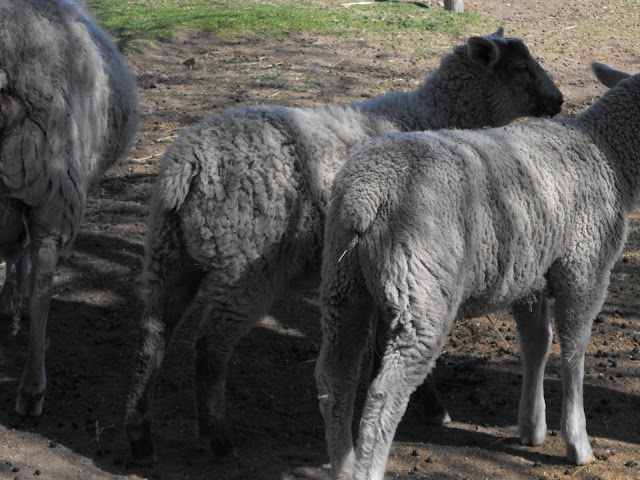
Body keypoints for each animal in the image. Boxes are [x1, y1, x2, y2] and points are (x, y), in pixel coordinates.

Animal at [124, 28, 563, 463]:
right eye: (521, 69)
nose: (559, 101)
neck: (435, 114)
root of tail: (187, 164)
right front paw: (433, 408)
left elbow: (381, 344)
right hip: (243, 268)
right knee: (209, 348)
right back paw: (218, 439)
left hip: (169, 256)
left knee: (152, 339)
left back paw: (142, 437)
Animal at [314, 61, 639, 479]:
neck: (609, 153)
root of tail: (366, 195)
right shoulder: (585, 268)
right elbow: (573, 353)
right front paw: (577, 442)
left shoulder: (529, 275)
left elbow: (536, 344)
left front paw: (531, 426)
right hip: (421, 290)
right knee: (386, 392)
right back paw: (368, 465)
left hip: (344, 283)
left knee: (335, 379)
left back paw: (344, 463)